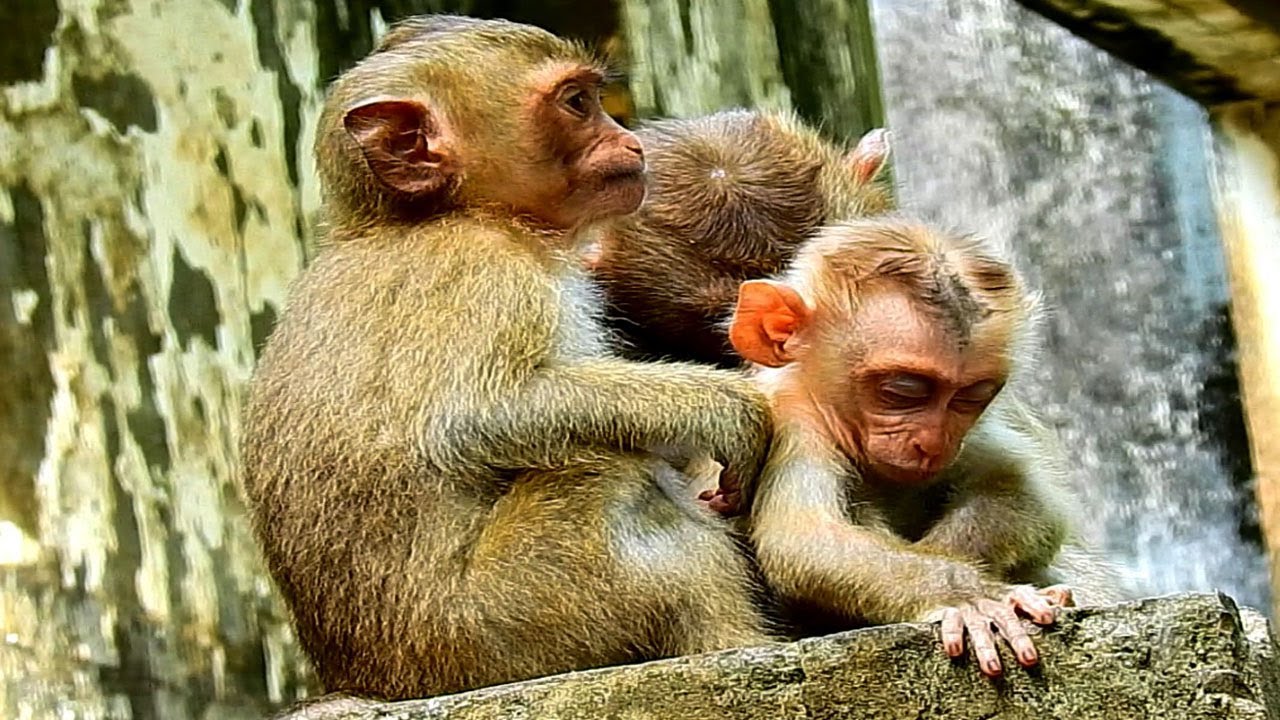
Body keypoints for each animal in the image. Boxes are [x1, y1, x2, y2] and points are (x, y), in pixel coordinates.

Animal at [239, 15, 777, 701]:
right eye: (577, 103)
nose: (630, 141)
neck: (440, 214)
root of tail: (370, 680)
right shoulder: (485, 271)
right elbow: (476, 414)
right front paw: (724, 409)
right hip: (493, 633)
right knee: (616, 479)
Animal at [713, 218, 1129, 678]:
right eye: (902, 391)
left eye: (970, 396)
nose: (930, 442)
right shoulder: (796, 420)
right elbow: (805, 540)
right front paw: (971, 596)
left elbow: (1024, 490)